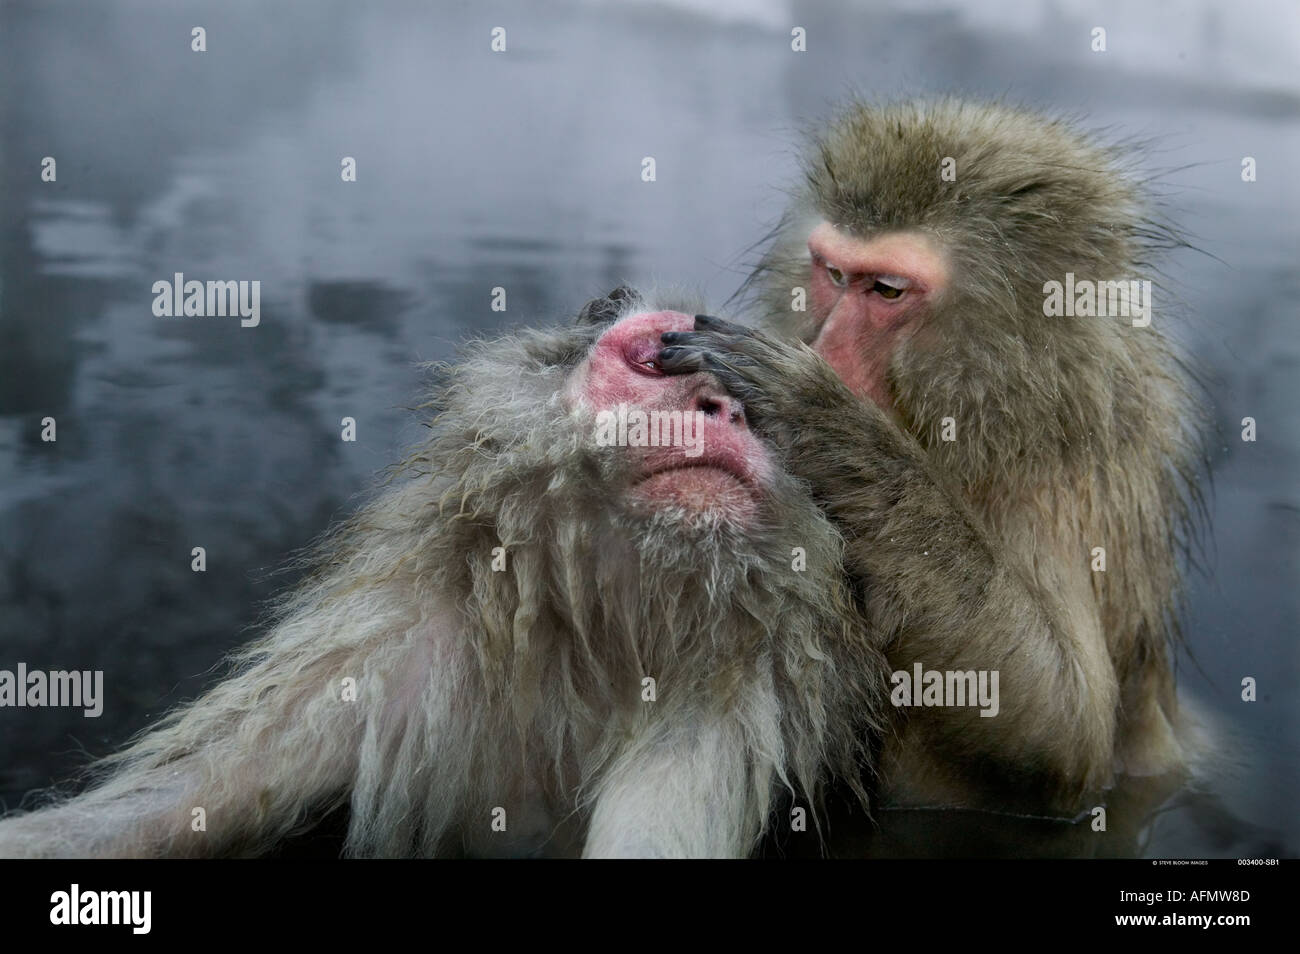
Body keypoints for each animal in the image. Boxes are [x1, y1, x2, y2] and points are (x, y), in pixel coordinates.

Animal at [0, 288, 886, 859]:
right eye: (659, 361)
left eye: (755, 404)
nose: (723, 408)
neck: (616, 617)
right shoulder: (399, 651)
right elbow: (194, 796)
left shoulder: (735, 711)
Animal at [657, 99, 1204, 821]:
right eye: (834, 275)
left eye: (888, 290)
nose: (825, 351)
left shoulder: (1054, 483)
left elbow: (1070, 739)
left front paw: (829, 426)